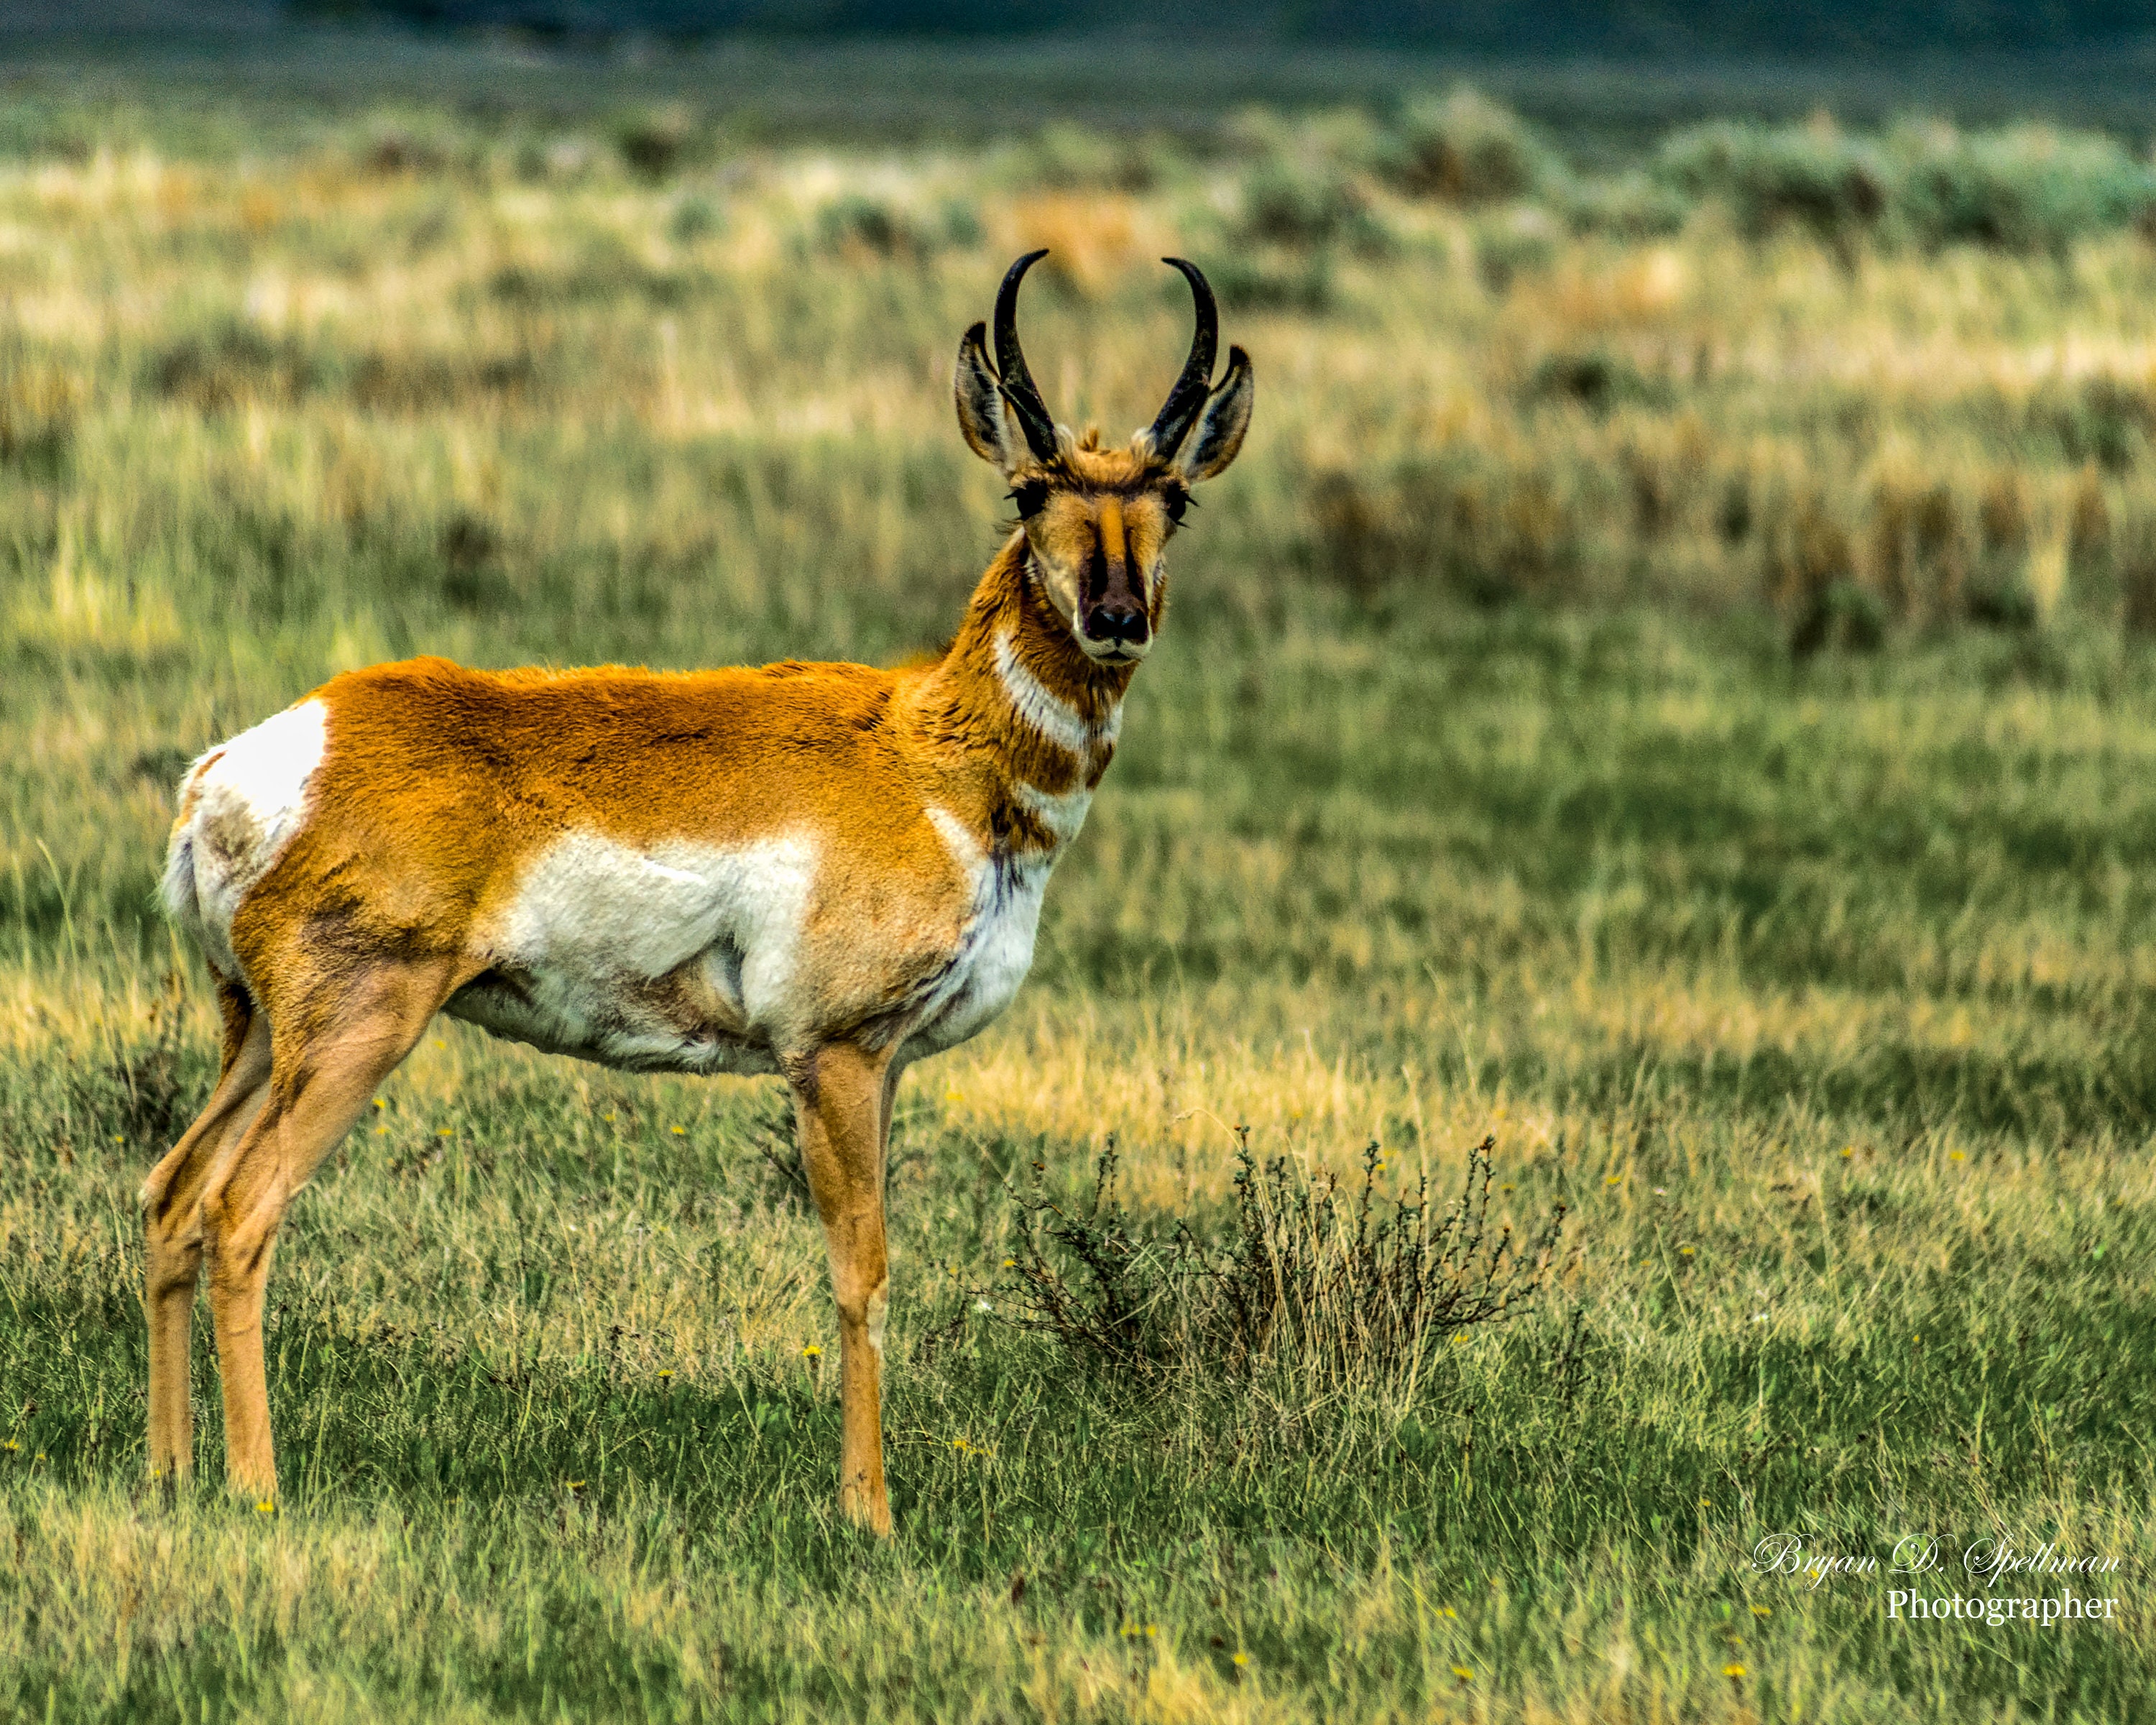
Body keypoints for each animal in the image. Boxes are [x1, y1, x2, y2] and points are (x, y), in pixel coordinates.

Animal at [142, 252, 1252, 1532]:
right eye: (1029, 494)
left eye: (1175, 501)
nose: (1118, 620)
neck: (925, 753)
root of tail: (239, 768)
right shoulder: (836, 1057)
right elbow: (862, 1275)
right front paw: (869, 1515)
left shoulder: (891, 1066)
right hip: (356, 1032)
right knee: (241, 1212)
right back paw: (259, 1491)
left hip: (261, 1038)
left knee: (172, 1196)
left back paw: (171, 1473)